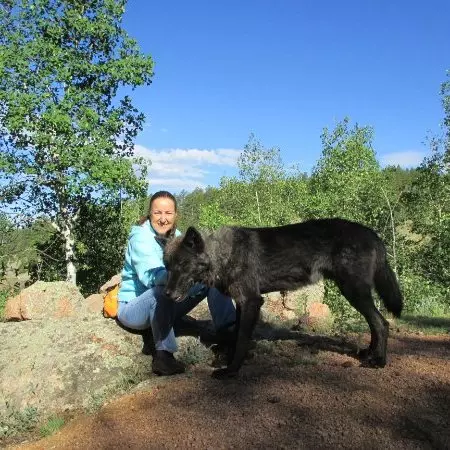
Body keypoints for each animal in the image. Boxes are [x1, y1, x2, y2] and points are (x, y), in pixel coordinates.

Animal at [157, 220, 400, 378]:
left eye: (183, 265)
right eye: (168, 266)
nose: (166, 294)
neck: (223, 254)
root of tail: (373, 234)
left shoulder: (251, 301)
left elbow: (242, 339)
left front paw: (232, 370)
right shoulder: (242, 304)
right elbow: (236, 337)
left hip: (354, 292)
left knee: (381, 323)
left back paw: (378, 361)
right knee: (375, 323)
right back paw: (369, 353)